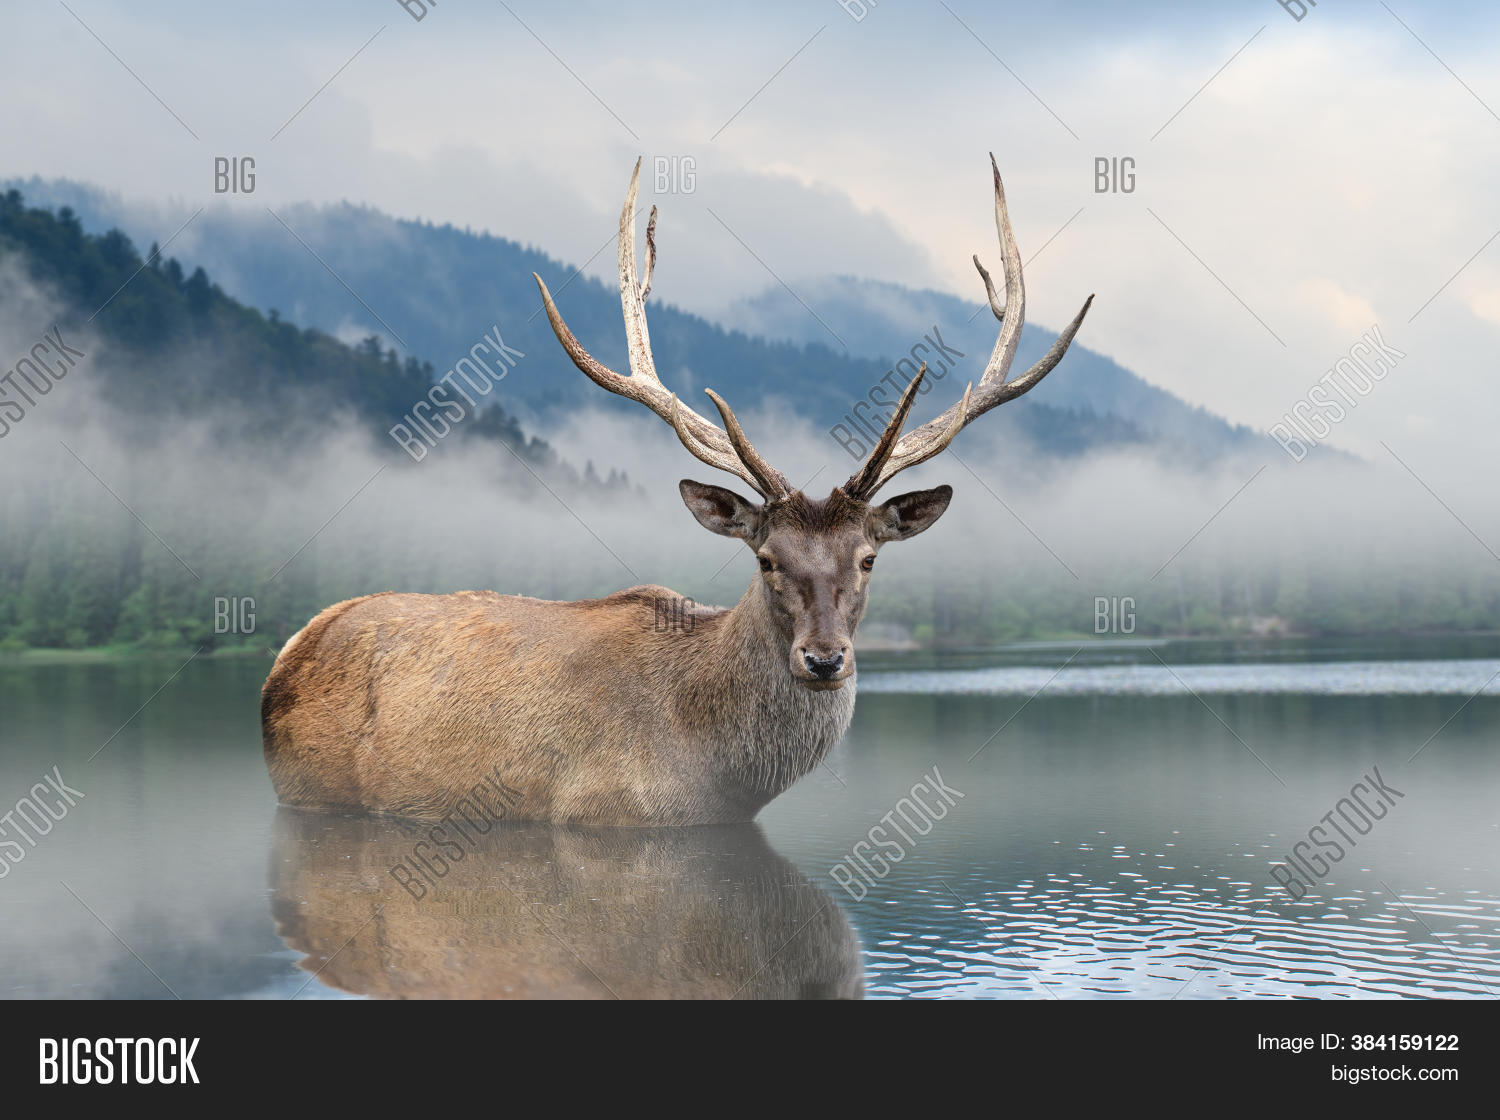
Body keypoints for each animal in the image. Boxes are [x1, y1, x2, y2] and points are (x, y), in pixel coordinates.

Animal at [261, 155, 1092, 826]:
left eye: (868, 558)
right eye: (766, 559)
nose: (825, 659)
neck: (715, 776)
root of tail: (291, 650)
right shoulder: (602, 815)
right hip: (306, 787)